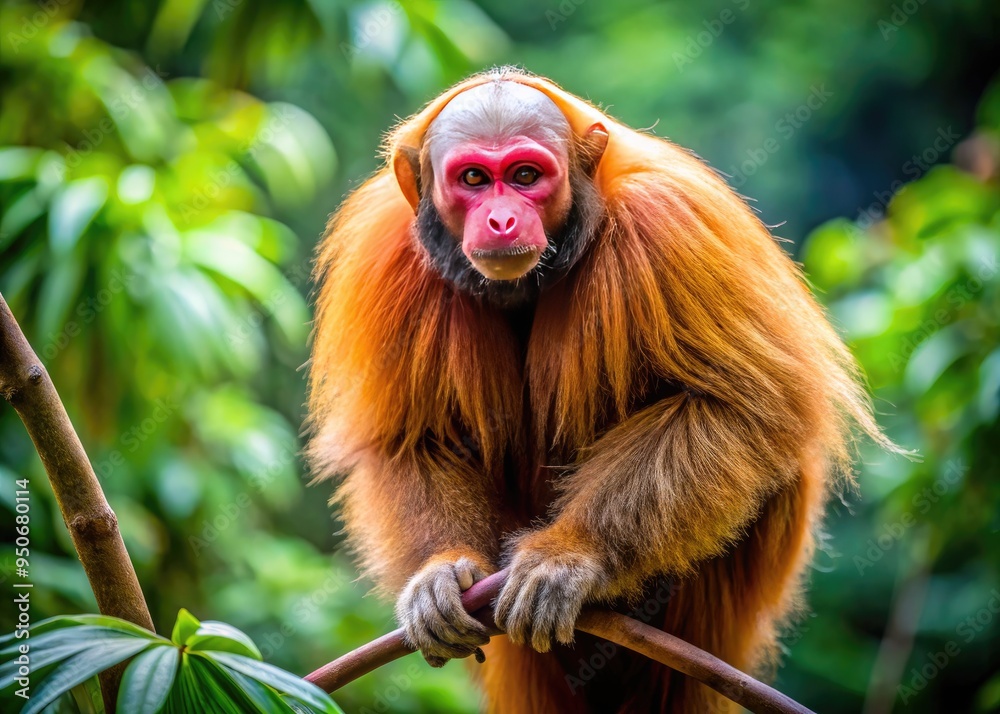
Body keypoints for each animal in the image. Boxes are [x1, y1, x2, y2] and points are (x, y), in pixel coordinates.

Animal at [308, 67, 893, 712]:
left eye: (526, 176)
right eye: (473, 179)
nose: (501, 220)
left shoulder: (669, 220)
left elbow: (742, 408)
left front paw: (573, 555)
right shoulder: (388, 253)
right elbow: (414, 438)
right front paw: (438, 570)